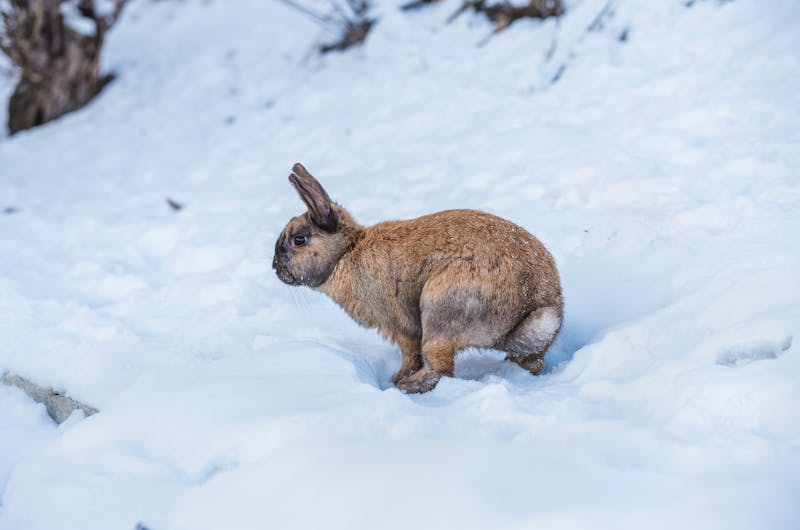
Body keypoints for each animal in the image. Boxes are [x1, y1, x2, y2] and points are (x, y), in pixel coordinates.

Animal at [273, 163, 563, 393]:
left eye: (299, 239)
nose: (275, 268)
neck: (347, 252)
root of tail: (533, 309)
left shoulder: (401, 327)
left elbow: (410, 356)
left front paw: (398, 377)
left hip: (440, 310)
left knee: (440, 368)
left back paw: (406, 386)